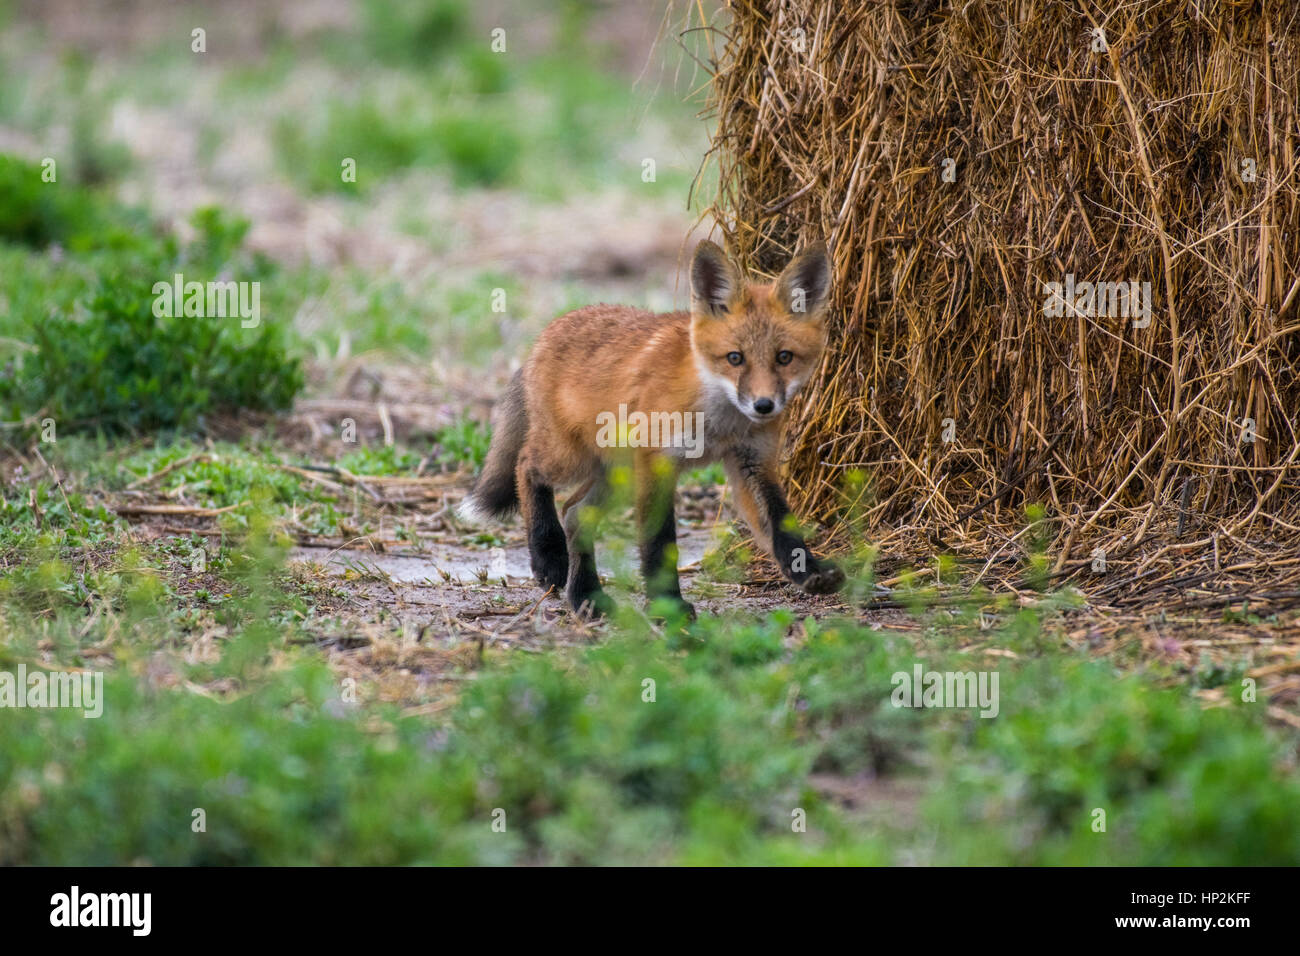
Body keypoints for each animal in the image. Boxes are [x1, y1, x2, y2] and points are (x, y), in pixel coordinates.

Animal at [459, 238, 845, 619]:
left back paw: (586, 597)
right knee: (526, 467)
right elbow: (659, 543)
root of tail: (545, 334)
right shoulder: (658, 462)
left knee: (575, 513)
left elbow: (781, 522)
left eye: (784, 357)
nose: (764, 406)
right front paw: (668, 606)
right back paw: (549, 556)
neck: (717, 421)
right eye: (735, 358)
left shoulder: (752, 461)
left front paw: (808, 571)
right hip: (571, 457)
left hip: (618, 474)